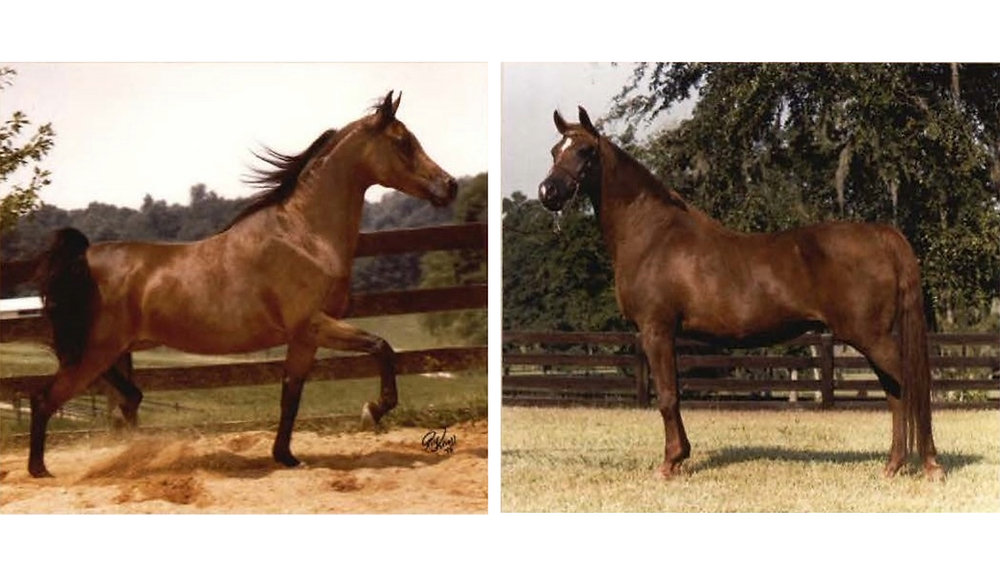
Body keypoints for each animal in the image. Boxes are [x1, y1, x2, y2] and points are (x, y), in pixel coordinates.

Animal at [28, 91, 458, 478]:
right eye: (403, 142)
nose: (450, 185)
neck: (304, 236)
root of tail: (86, 256)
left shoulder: (304, 338)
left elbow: (291, 395)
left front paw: (286, 457)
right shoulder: (313, 324)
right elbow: (381, 347)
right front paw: (373, 410)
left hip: (106, 348)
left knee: (107, 389)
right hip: (98, 348)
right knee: (44, 397)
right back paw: (40, 470)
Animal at [537, 106, 945, 481]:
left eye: (586, 151)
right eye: (555, 150)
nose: (548, 192)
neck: (651, 236)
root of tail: (881, 234)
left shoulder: (656, 330)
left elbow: (667, 397)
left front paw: (669, 464)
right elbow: (675, 393)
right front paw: (680, 456)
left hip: (871, 336)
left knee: (914, 387)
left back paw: (932, 466)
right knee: (896, 393)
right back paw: (893, 466)